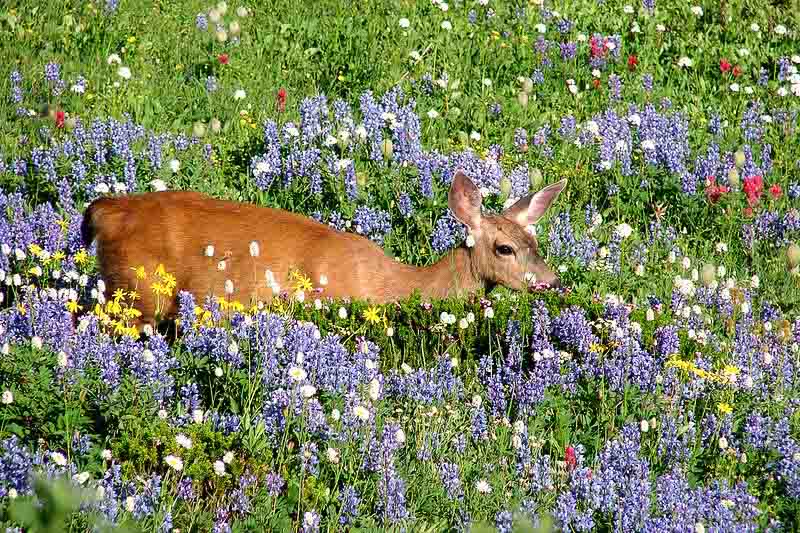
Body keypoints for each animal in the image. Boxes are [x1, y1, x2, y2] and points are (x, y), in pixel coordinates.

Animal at [80, 171, 567, 330]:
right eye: (504, 247)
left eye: (535, 242)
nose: (552, 281)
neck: (394, 282)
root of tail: (105, 211)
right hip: (137, 293)